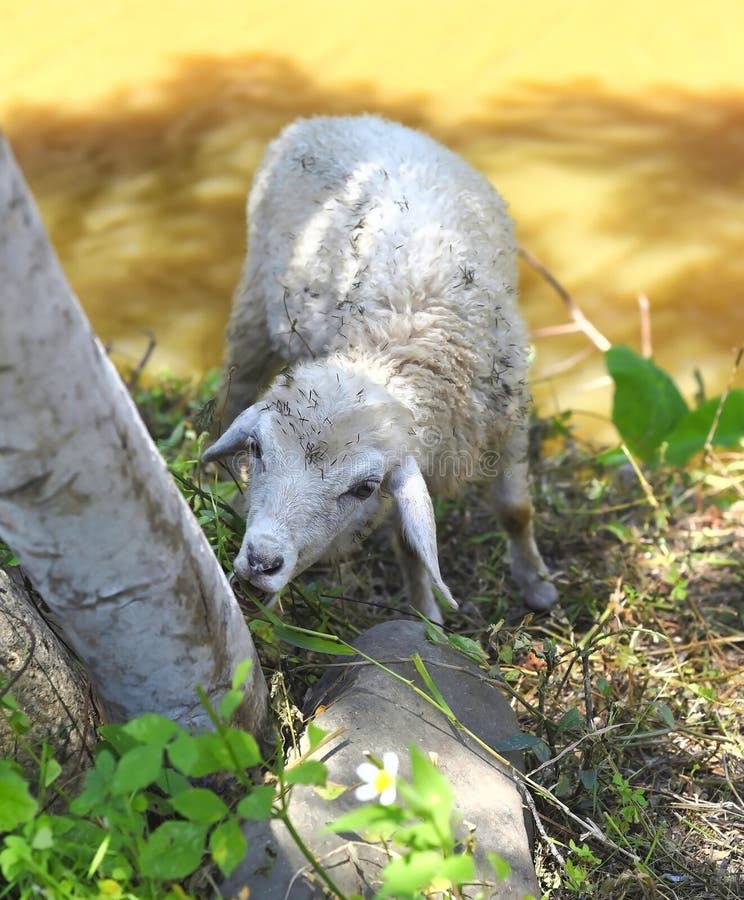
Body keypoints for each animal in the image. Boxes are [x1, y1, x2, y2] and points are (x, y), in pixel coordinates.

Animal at [203, 114, 558, 623]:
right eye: (256, 449)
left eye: (364, 487)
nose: (261, 561)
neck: (402, 337)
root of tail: (332, 118)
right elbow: (411, 546)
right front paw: (427, 618)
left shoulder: (507, 419)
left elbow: (515, 511)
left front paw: (537, 586)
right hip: (253, 300)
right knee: (234, 390)